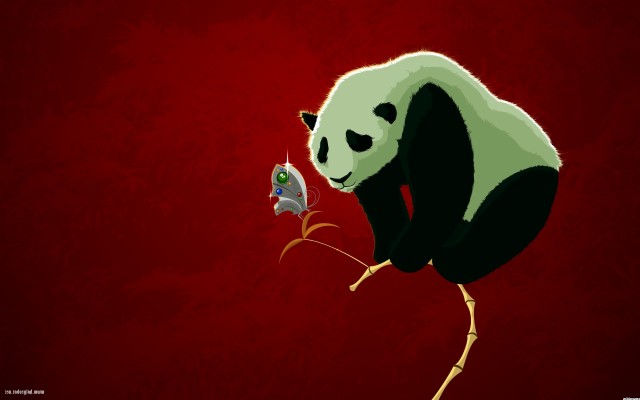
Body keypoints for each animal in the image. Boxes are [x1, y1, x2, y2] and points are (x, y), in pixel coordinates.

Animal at [300, 52, 560, 284]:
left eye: (359, 141)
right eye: (323, 150)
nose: (341, 178)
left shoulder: (433, 109)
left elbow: (441, 190)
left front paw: (405, 256)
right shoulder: (379, 167)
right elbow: (380, 196)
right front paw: (386, 247)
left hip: (519, 172)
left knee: (504, 221)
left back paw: (452, 259)